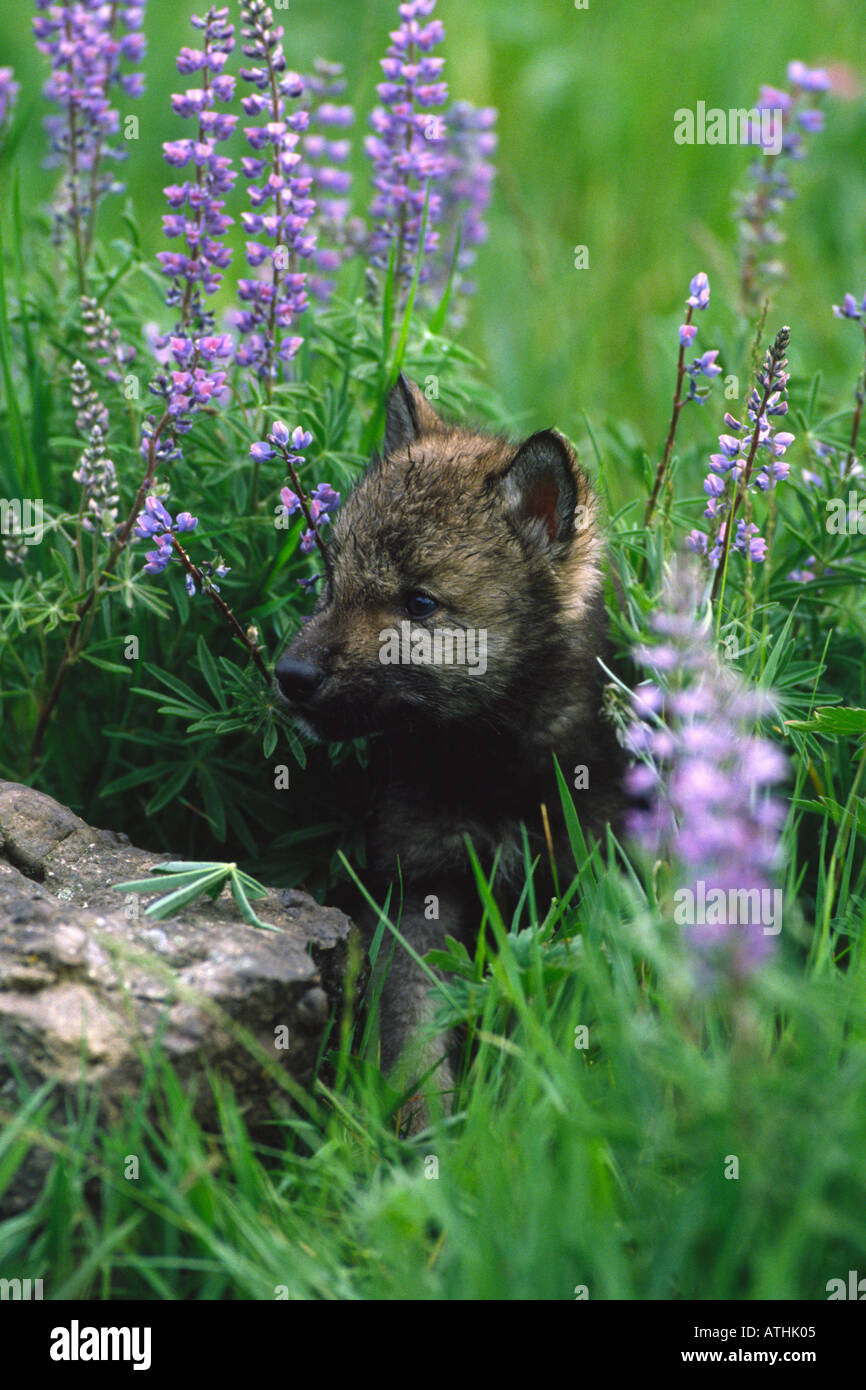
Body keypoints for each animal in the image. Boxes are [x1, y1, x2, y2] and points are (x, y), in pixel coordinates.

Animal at [275, 376, 625, 1119]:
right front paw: (425, 1135)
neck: (492, 767)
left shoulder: (587, 882)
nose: (290, 677)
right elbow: (414, 1046)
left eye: (420, 604)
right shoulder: (424, 892)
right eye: (332, 578)